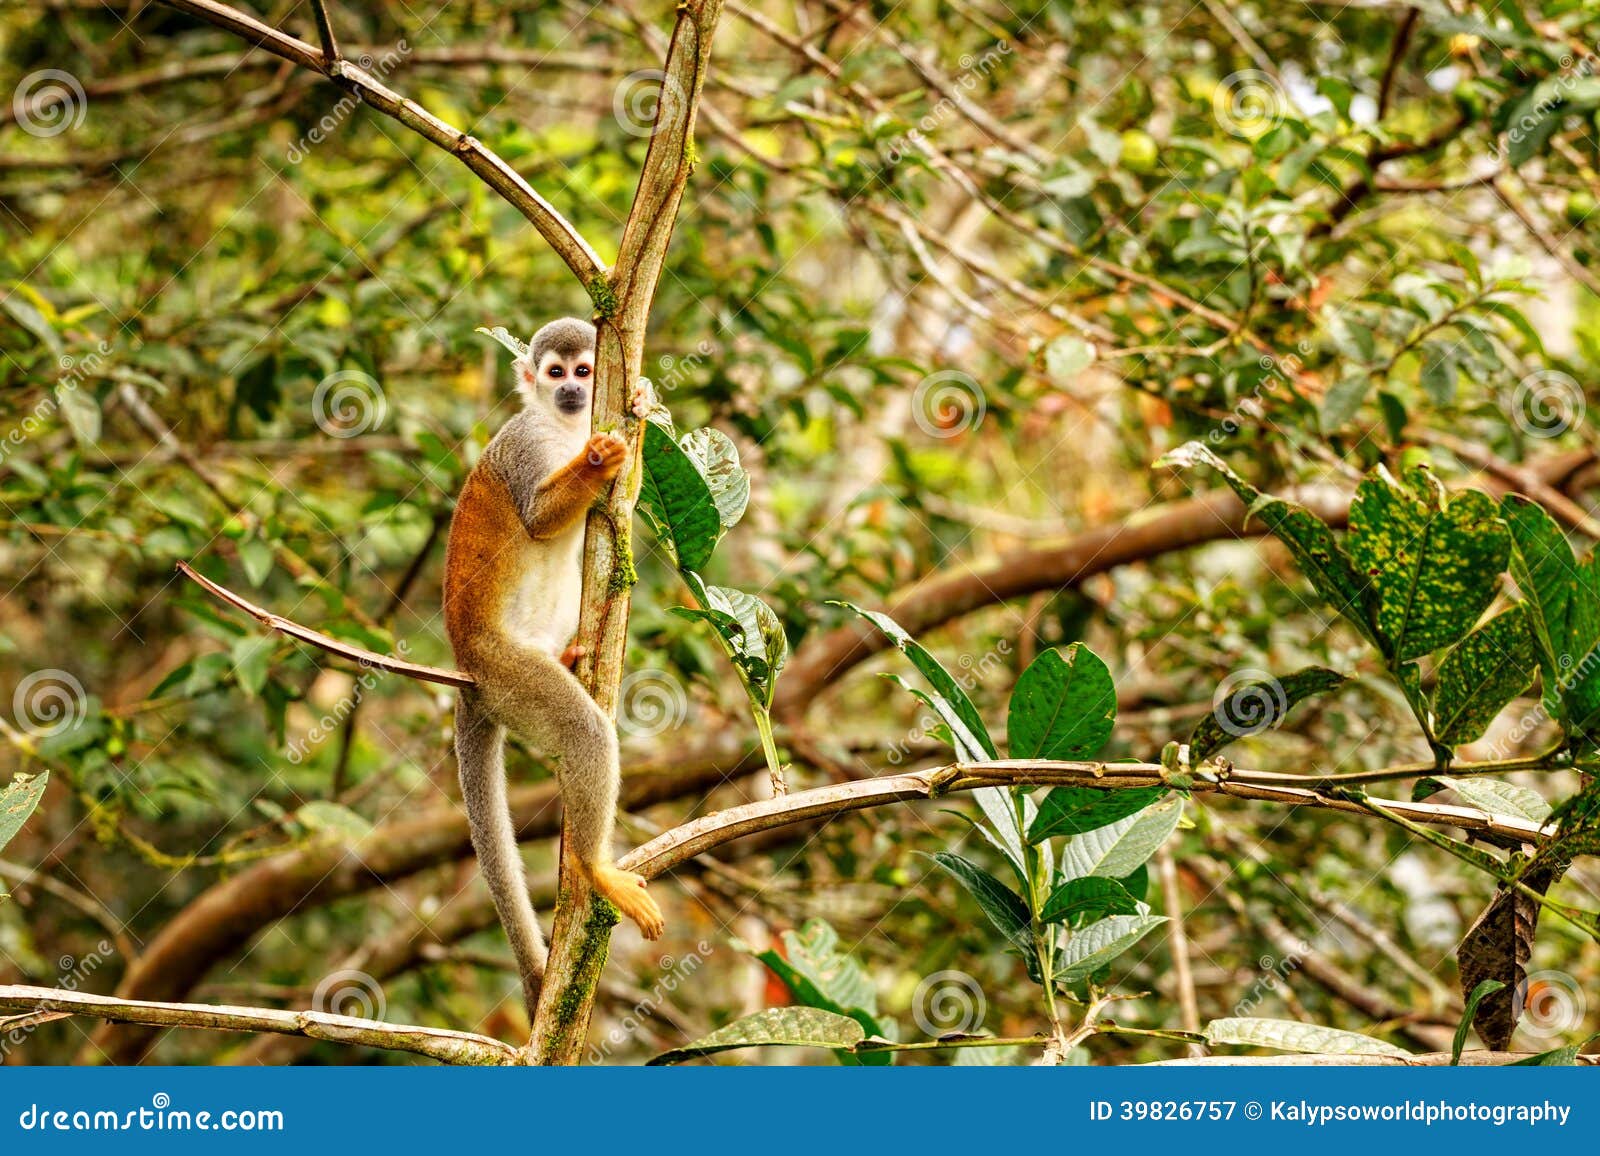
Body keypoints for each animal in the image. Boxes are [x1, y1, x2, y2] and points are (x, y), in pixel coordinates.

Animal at [443, 316, 663, 1016]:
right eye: (554, 373)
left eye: (584, 372)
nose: (570, 393)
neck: (560, 428)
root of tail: (466, 673)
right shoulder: (526, 446)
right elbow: (539, 517)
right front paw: (597, 460)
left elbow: (622, 505)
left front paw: (641, 402)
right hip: (507, 675)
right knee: (585, 731)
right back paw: (593, 869)